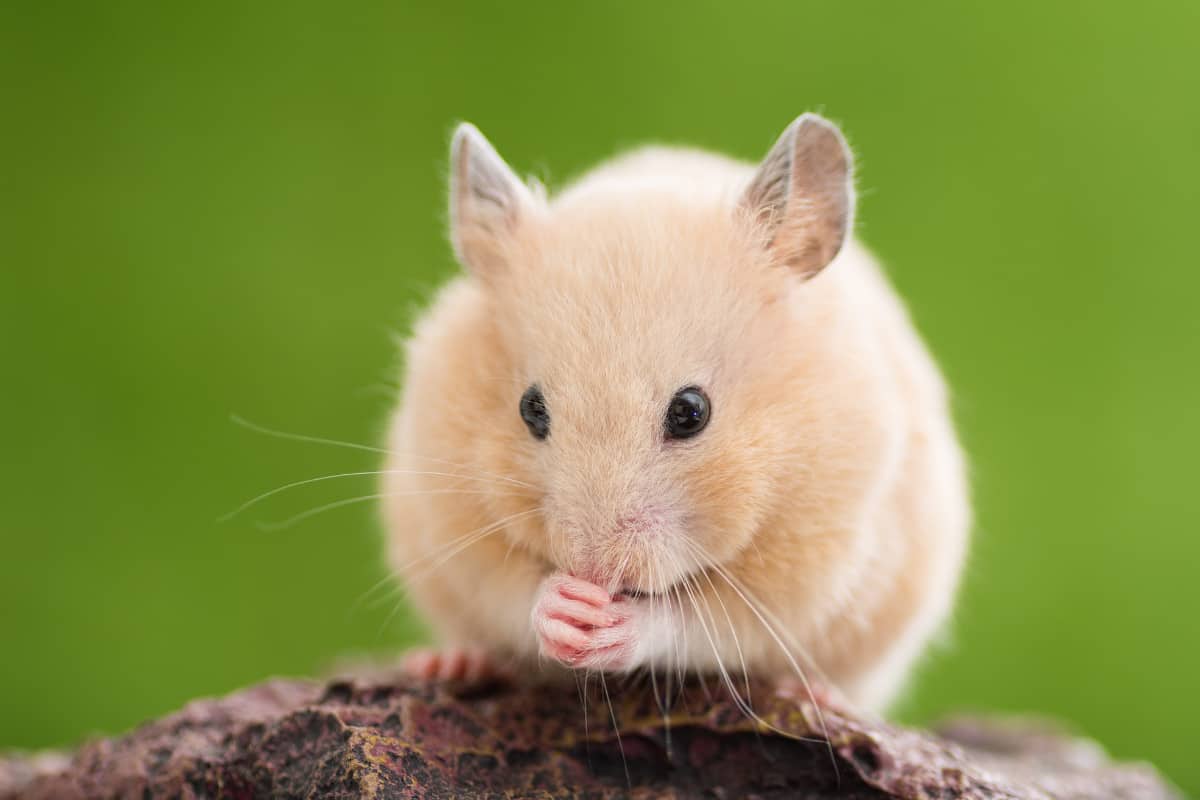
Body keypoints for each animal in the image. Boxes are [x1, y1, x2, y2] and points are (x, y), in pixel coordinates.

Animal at [382, 113, 969, 712]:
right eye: (530, 409)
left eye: (691, 412)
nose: (592, 570)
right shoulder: (451, 522)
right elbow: (511, 592)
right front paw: (566, 607)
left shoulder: (810, 562)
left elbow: (691, 620)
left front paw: (615, 623)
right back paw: (447, 664)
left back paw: (818, 697)